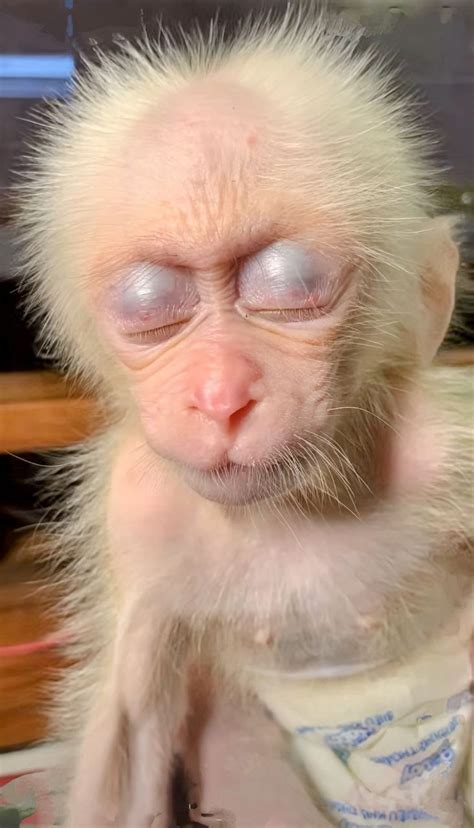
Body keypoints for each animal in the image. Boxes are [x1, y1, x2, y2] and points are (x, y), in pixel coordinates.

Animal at [14, 6, 473, 828]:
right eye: (151, 309)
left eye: (289, 291)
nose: (220, 395)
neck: (303, 499)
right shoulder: (134, 508)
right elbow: (129, 732)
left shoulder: (445, 448)